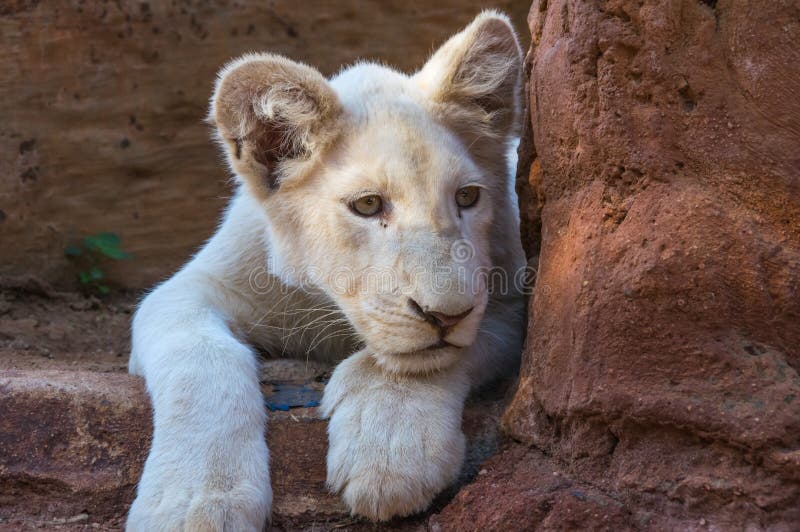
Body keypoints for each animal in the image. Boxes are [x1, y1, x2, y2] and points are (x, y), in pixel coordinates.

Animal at [126, 10, 526, 530]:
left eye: (468, 197)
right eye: (368, 204)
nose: (447, 316)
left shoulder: (511, 300)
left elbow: (406, 364)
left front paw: (390, 452)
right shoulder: (191, 290)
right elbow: (204, 359)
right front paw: (195, 500)